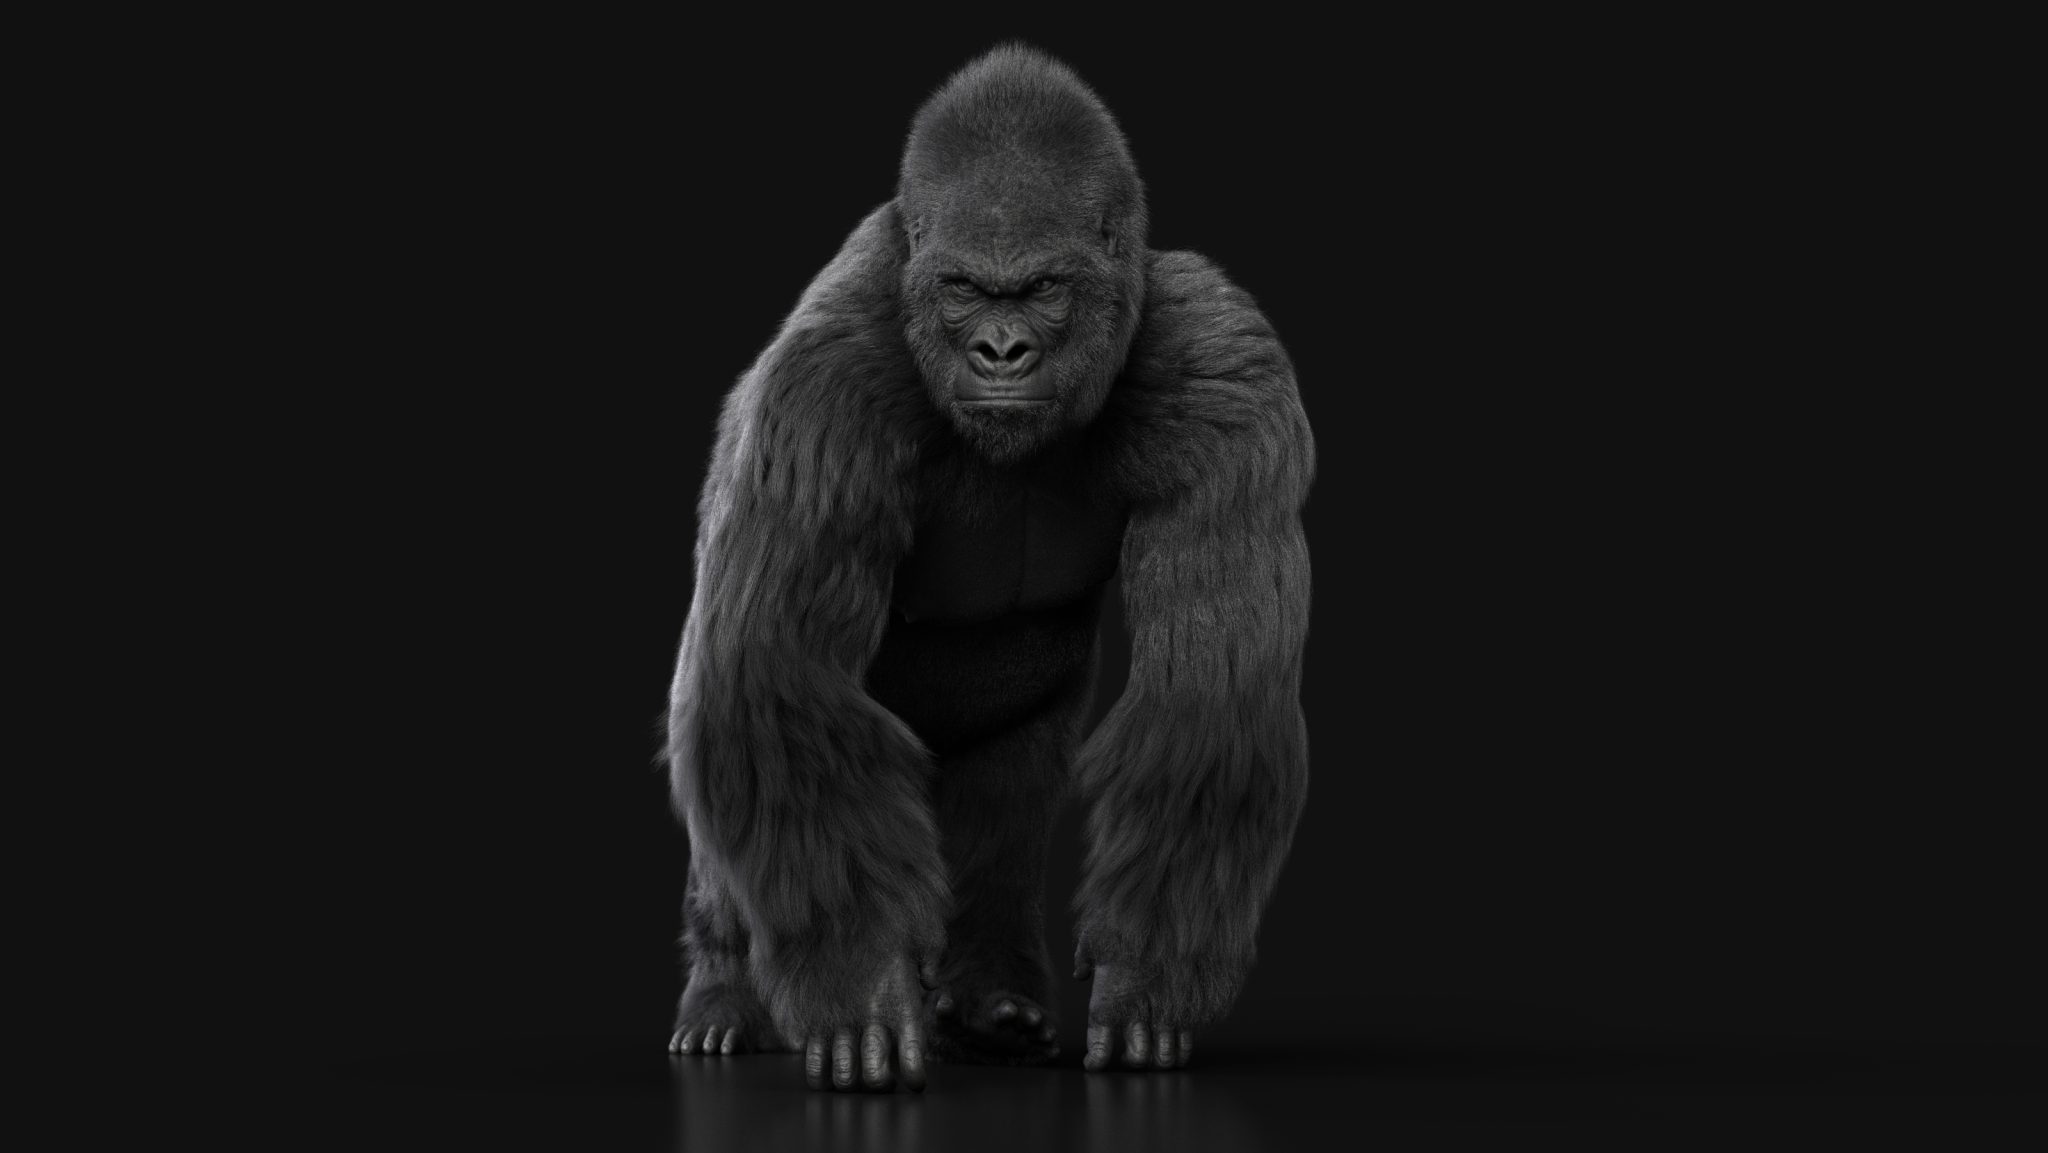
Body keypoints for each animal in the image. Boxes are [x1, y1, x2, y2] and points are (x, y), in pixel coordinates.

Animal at [666, 44, 1313, 1092]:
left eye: (1041, 287)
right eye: (967, 288)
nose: (1000, 350)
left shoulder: (1222, 366)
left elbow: (1206, 702)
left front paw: (1144, 972)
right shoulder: (823, 389)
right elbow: (777, 681)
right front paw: (862, 980)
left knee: (1006, 800)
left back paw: (986, 998)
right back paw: (723, 992)